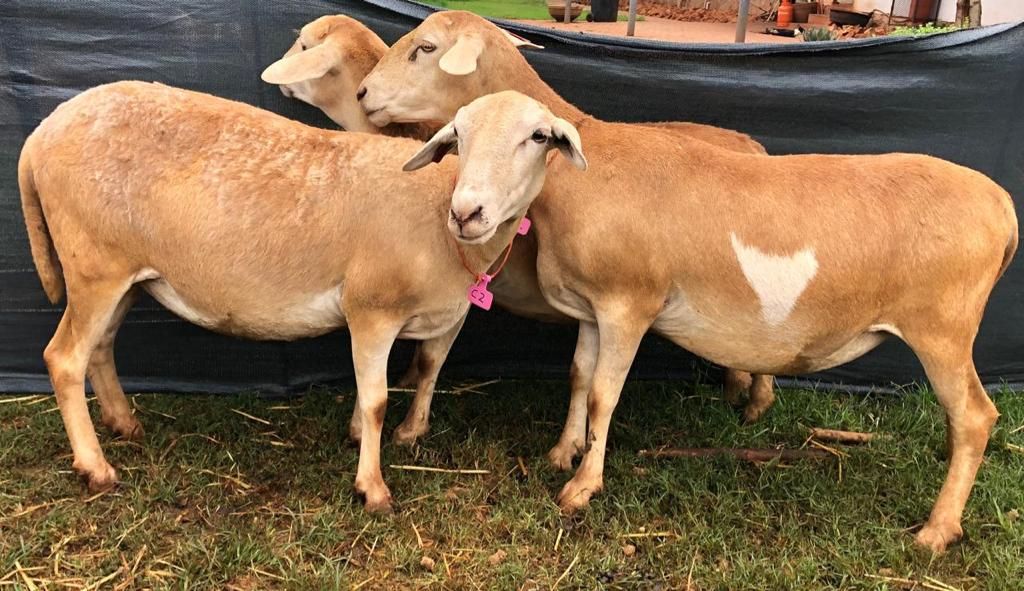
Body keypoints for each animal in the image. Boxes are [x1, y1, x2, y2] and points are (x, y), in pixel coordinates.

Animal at [18, 81, 586, 512]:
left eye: (538, 137)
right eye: (459, 135)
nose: (468, 213)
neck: (435, 209)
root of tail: (42, 131)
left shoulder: (449, 314)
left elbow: (427, 370)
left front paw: (405, 435)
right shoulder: (371, 309)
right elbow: (377, 399)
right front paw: (373, 488)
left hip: (122, 275)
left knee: (100, 347)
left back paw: (125, 424)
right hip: (94, 265)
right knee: (64, 358)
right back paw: (96, 468)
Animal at [265, 15, 778, 463]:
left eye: (426, 48)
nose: (365, 93)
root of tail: (753, 144)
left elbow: (431, 357)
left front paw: (409, 426)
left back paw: (756, 403)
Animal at [357, 11, 1019, 552]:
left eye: (425, 48)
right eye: (460, 135)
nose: (363, 94)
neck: (586, 169)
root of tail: (1002, 207)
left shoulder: (630, 303)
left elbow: (604, 395)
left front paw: (582, 488)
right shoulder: (593, 307)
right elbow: (579, 379)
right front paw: (563, 453)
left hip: (943, 328)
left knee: (974, 418)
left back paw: (937, 531)